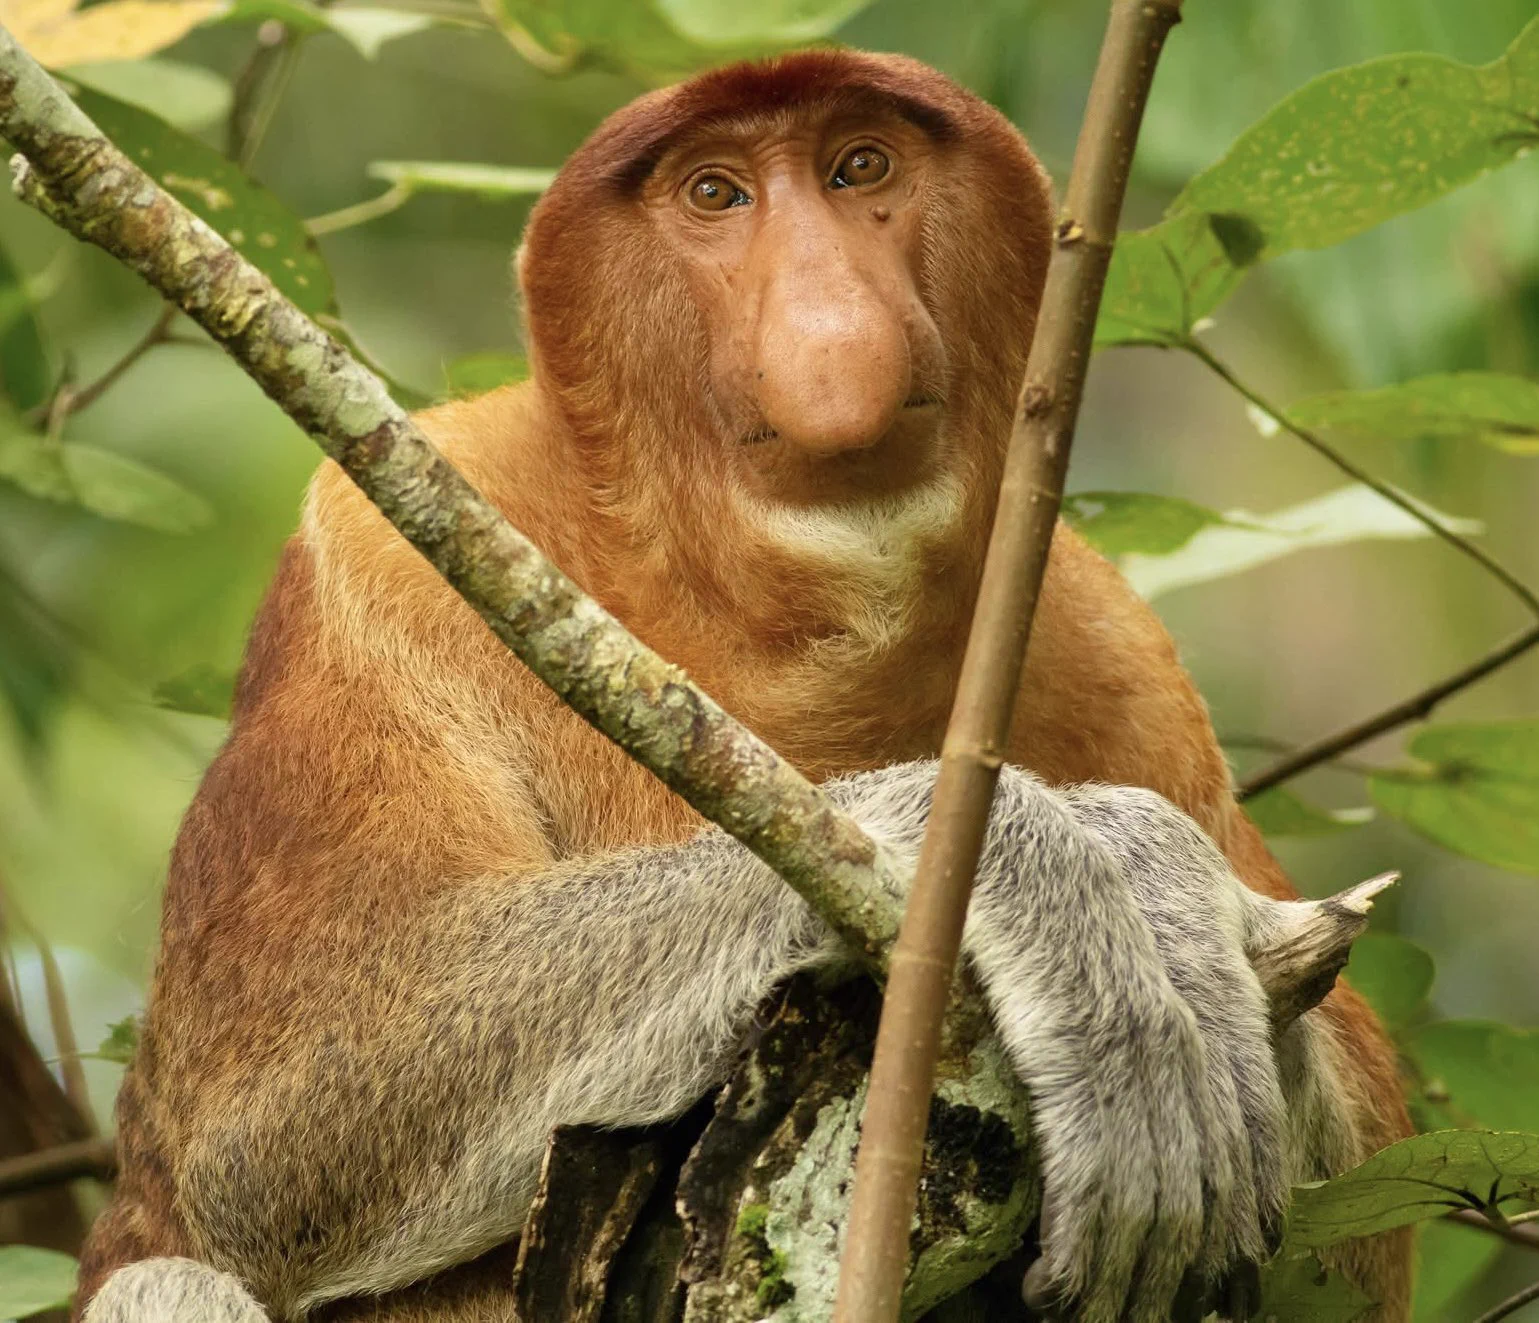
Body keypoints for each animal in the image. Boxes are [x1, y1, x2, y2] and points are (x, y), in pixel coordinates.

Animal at [73, 49, 1413, 1323]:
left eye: (861, 167)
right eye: (715, 194)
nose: (831, 328)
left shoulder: (1121, 649)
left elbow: (1363, 1242)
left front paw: (1180, 913)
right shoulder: (377, 559)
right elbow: (280, 1101)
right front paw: (1059, 866)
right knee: (171, 1277)